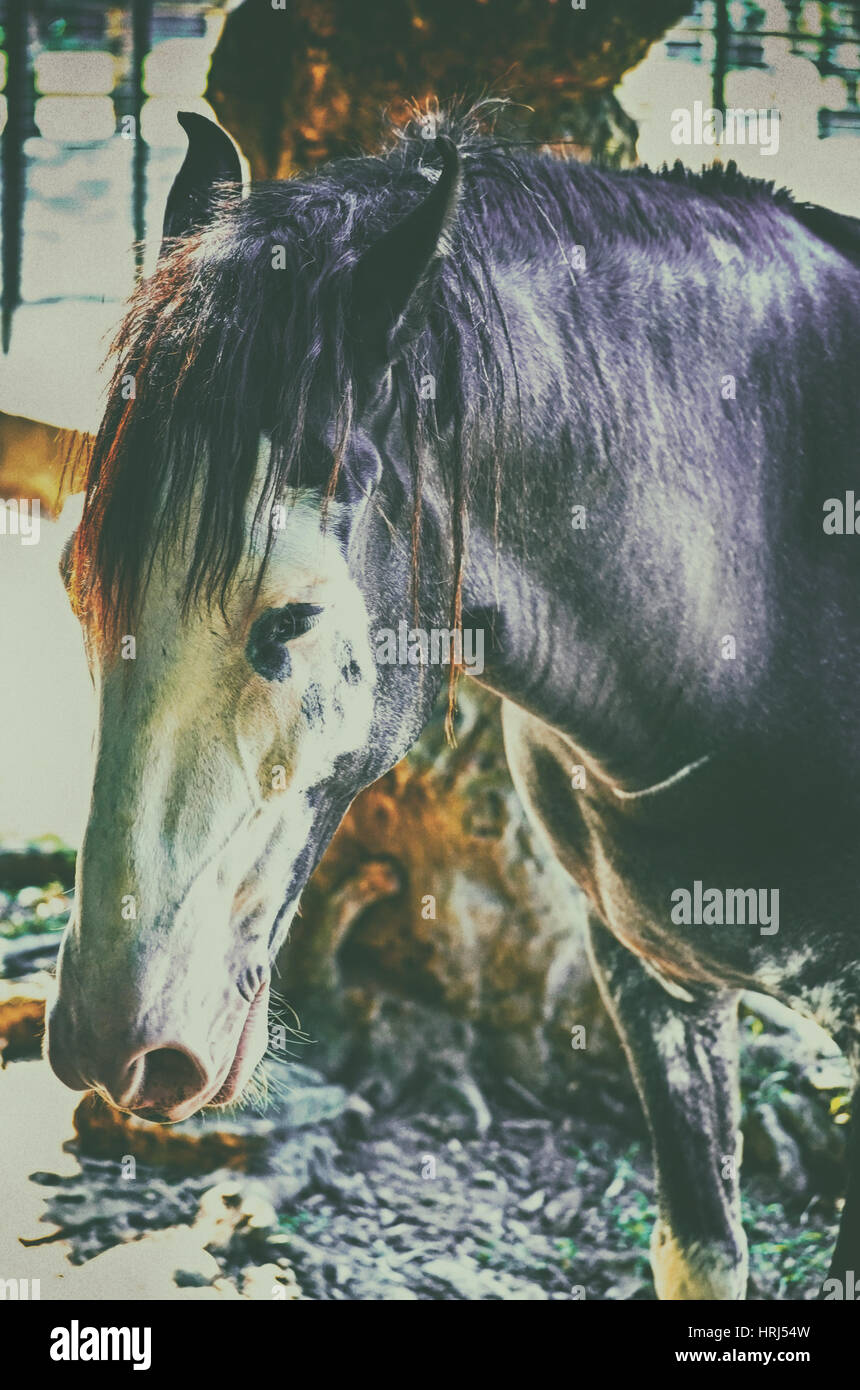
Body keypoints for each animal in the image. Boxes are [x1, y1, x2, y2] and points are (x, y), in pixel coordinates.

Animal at [47, 106, 860, 1300]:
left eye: (291, 618)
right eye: (77, 583)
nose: (112, 1041)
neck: (768, 592)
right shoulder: (653, 984)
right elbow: (700, 1248)